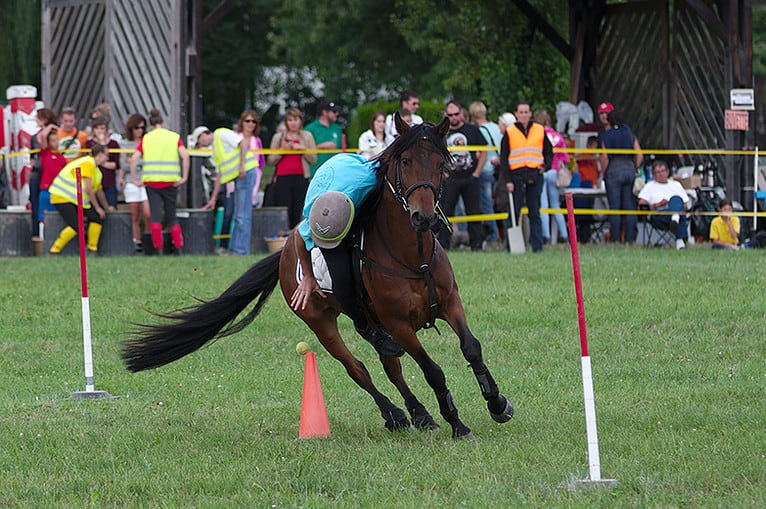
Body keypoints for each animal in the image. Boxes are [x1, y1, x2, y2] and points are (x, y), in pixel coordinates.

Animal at [122, 114, 514, 439]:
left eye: (440, 164)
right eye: (405, 162)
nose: (423, 217)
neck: (411, 255)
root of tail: (286, 249)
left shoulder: (449, 303)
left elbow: (471, 347)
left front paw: (497, 403)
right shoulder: (400, 325)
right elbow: (433, 370)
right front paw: (458, 423)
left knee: (390, 366)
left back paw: (419, 414)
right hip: (321, 323)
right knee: (359, 370)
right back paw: (396, 414)